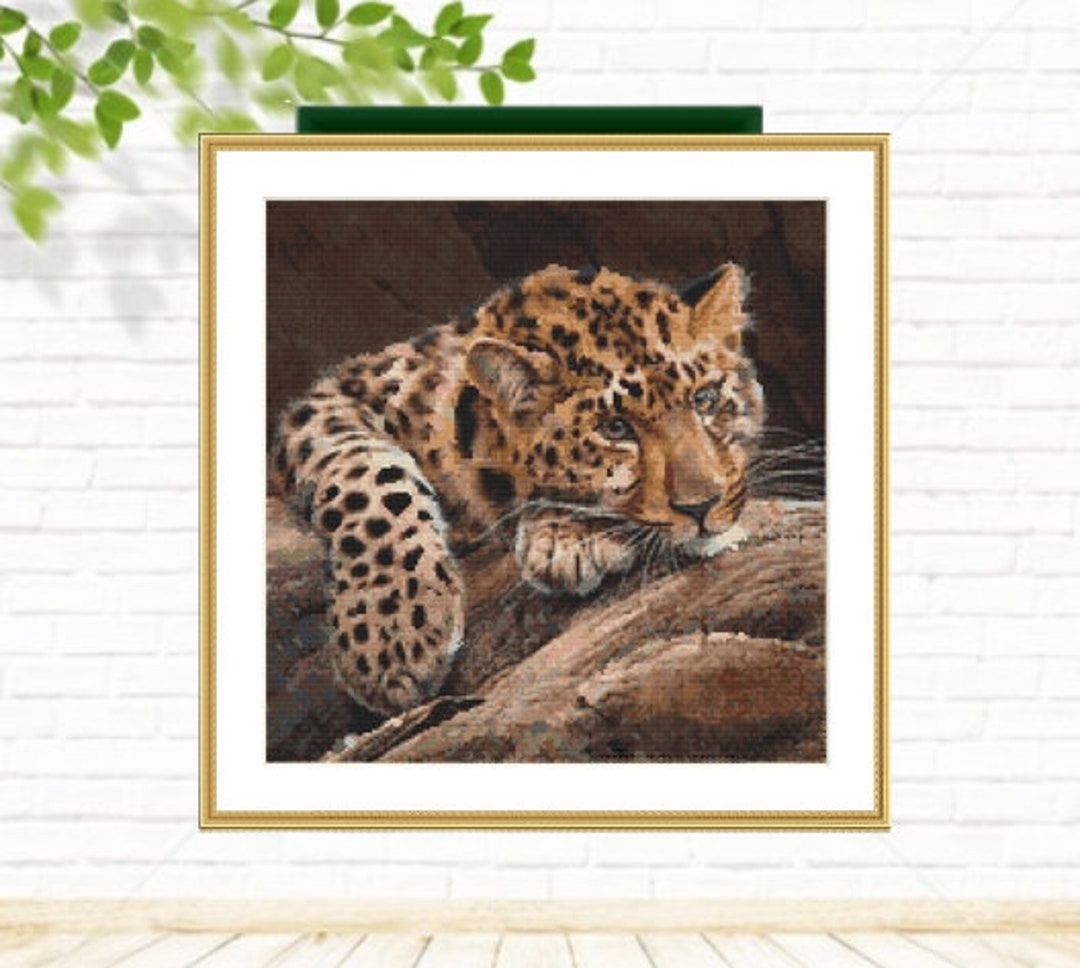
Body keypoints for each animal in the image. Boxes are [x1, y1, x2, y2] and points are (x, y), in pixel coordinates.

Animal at [269, 262, 765, 717]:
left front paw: (569, 535)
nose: (703, 506)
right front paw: (391, 631)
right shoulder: (330, 402)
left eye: (705, 399)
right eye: (615, 428)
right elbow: (370, 474)